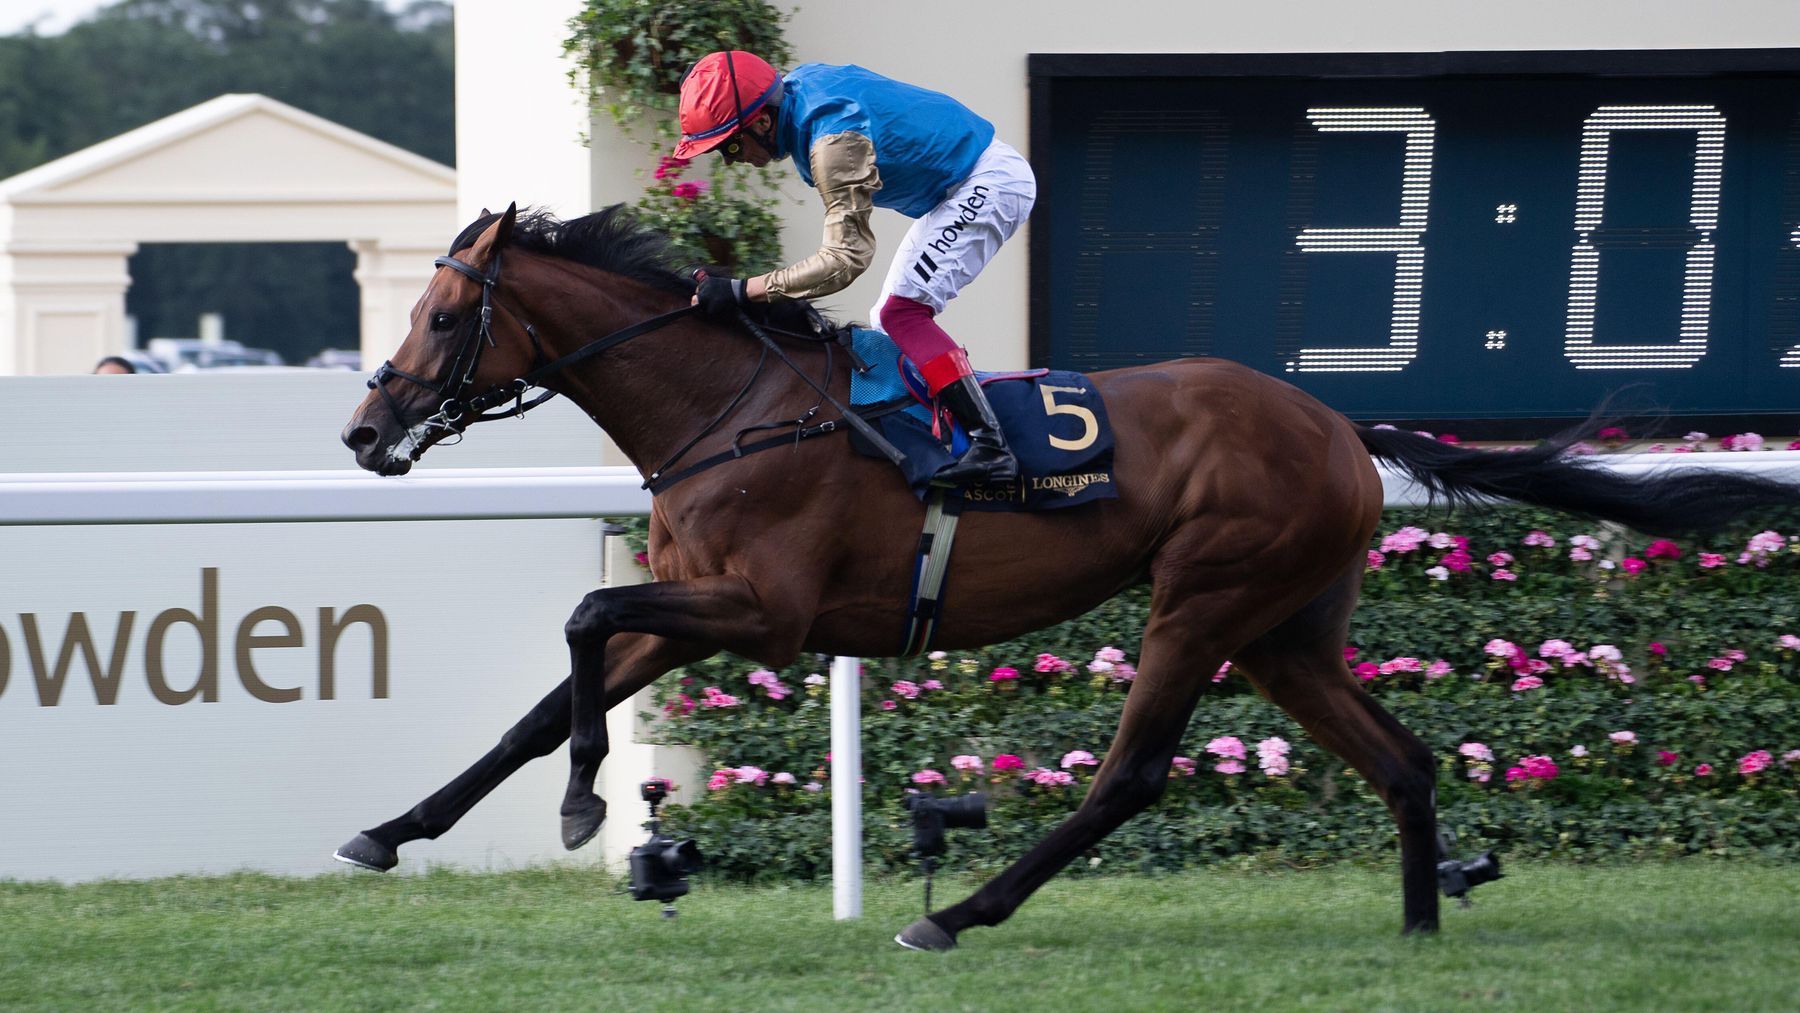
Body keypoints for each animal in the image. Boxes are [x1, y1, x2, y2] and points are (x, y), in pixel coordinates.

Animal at [337, 203, 1800, 950]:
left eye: (445, 312)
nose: (362, 430)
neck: (732, 405)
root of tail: (1341, 423)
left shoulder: (767, 611)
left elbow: (584, 619)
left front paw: (591, 803)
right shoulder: (695, 607)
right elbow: (545, 700)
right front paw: (393, 828)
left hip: (1204, 594)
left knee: (1133, 774)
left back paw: (959, 914)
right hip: (1287, 628)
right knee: (1402, 757)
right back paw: (1420, 928)